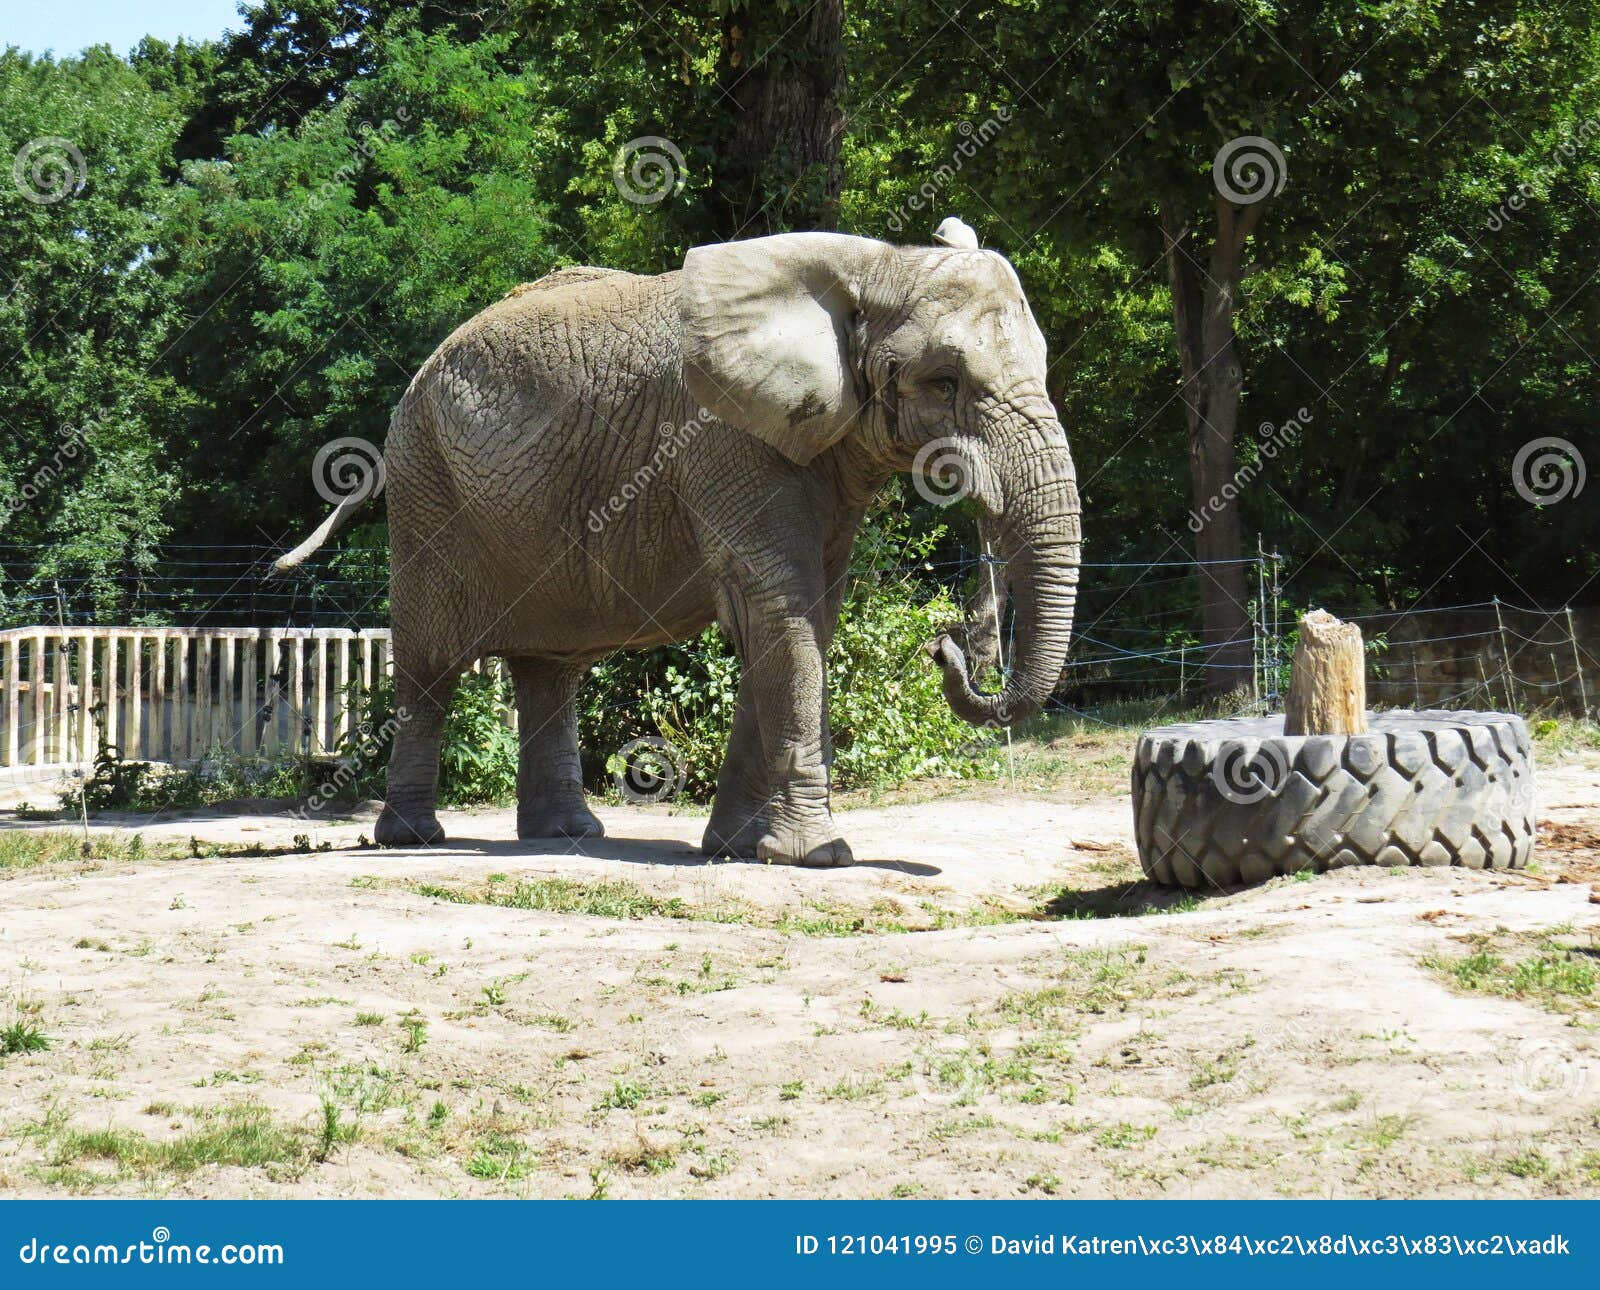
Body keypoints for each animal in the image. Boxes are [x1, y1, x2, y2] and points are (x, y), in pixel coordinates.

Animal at [275, 225, 1082, 866]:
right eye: (944, 380)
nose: (948, 646)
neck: (870, 265)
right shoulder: (724, 439)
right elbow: (778, 608)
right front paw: (820, 856)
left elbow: (803, 619)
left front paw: (740, 850)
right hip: (427, 489)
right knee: (431, 669)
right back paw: (415, 840)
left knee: (549, 668)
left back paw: (568, 836)